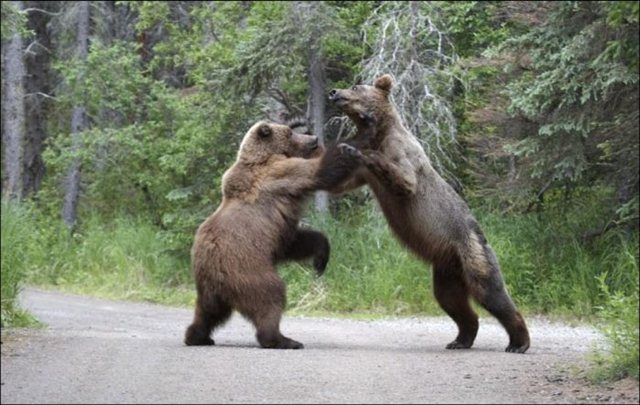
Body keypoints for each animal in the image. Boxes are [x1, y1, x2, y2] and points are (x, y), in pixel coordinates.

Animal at [184, 121, 356, 349]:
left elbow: (298, 242)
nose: (314, 139)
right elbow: (315, 172)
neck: (263, 157)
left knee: (208, 313)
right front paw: (345, 149)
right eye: (291, 132)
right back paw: (283, 339)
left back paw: (198, 337)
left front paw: (320, 261)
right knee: (270, 297)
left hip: (208, 288)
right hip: (247, 269)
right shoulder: (279, 174)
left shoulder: (278, 234)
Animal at [328, 74, 531, 353]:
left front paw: (356, 147)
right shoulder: (362, 175)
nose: (334, 92)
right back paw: (460, 339)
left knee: (489, 290)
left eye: (356, 86)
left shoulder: (401, 153)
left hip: (472, 251)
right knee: (451, 300)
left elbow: (404, 180)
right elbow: (337, 184)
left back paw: (518, 342)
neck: (383, 132)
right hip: (447, 268)